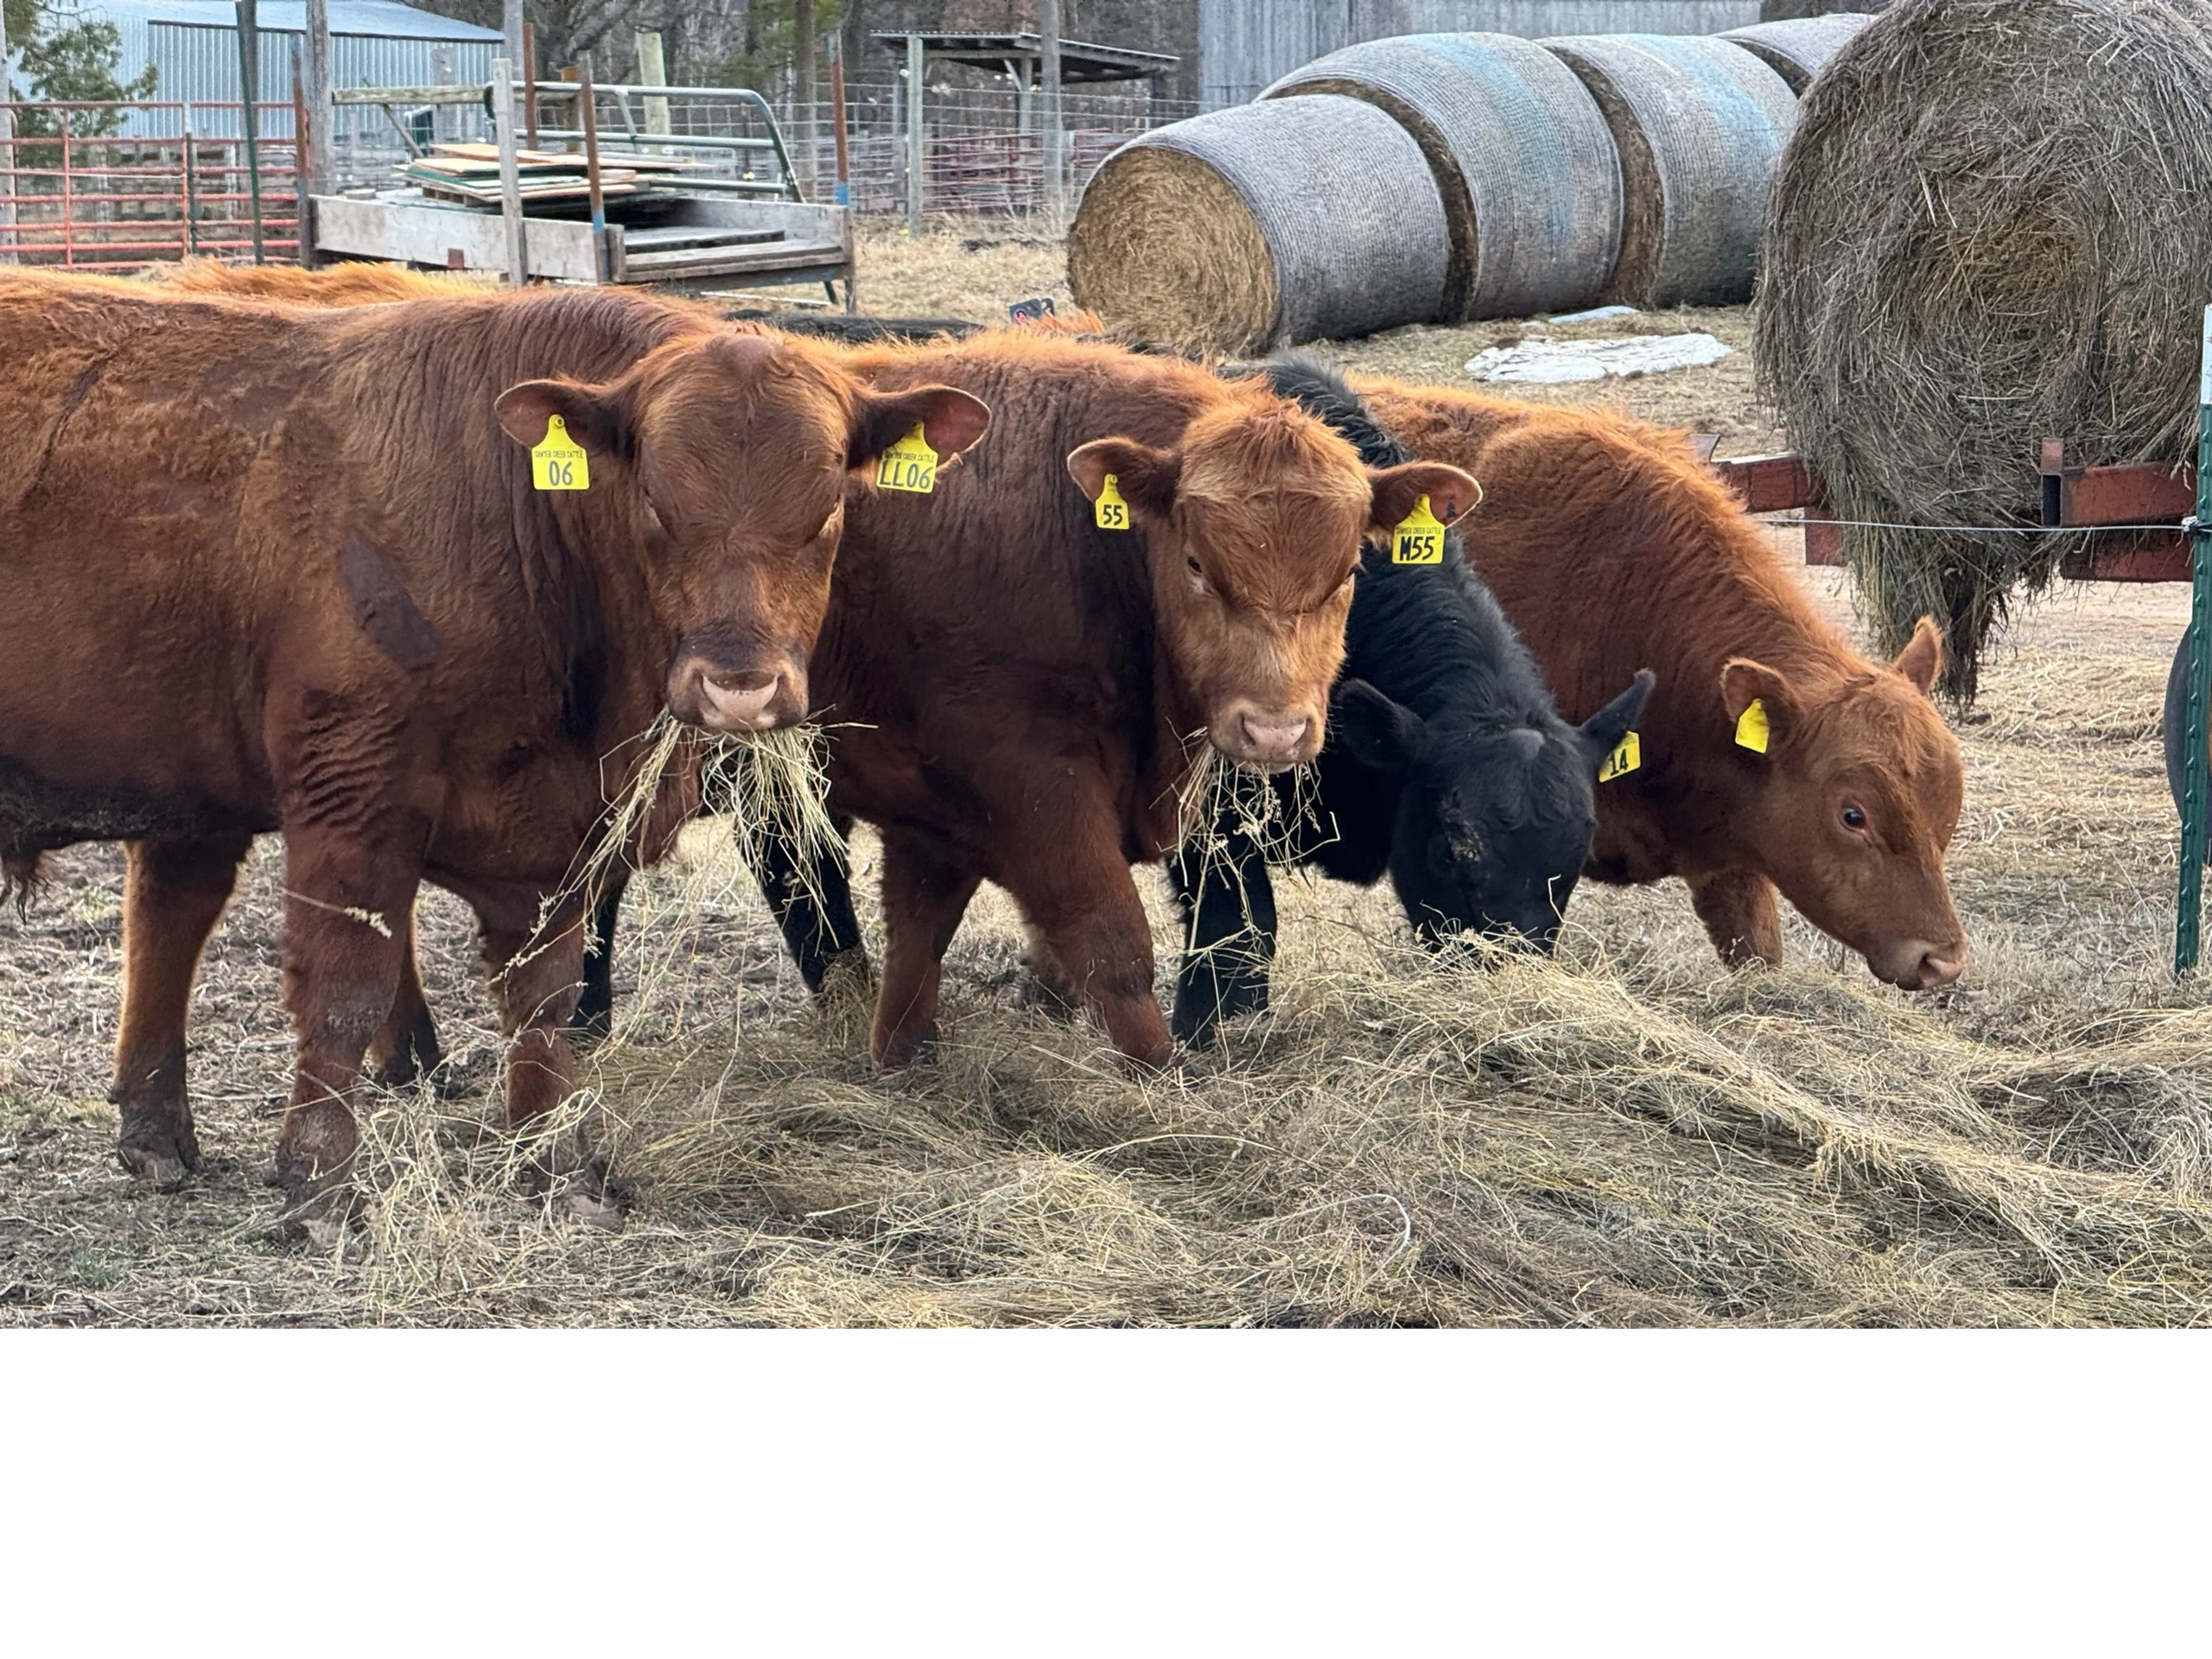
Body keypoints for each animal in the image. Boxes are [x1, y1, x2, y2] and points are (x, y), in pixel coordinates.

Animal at [0, 272, 987, 1219]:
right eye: (654, 500)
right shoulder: (350, 792)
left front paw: (559, 1168)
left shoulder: (558, 836)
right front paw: (320, 1181)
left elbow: (545, 993)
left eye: (829, 506)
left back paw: (156, 1133)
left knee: (169, 913)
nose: (738, 685)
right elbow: (346, 985)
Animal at [746, 328, 1478, 1069]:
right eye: (1195, 564)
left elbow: (920, 931)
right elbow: (1111, 940)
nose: (1275, 732)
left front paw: (902, 1056)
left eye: (1351, 570)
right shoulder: (1030, 778)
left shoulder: (931, 811)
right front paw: (1159, 1076)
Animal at [1163, 359, 1653, 1042]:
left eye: (1576, 859)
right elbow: (1236, 925)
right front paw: (1210, 1032)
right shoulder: (1211, 806)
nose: (1509, 985)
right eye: (1450, 850)